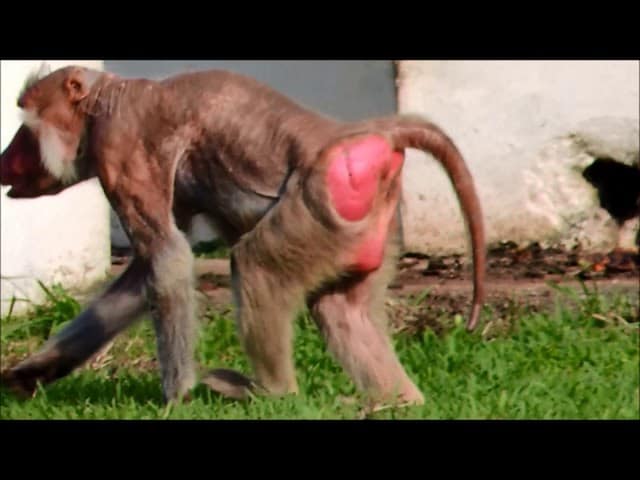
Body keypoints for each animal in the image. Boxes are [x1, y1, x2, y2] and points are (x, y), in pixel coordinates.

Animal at [0, 65, 486, 408]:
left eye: (27, 123)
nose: (8, 157)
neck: (106, 100)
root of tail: (353, 134)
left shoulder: (120, 145)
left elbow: (168, 256)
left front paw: (177, 398)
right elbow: (145, 272)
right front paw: (35, 371)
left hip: (317, 203)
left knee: (256, 265)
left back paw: (274, 391)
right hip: (366, 223)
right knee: (342, 310)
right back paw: (396, 401)